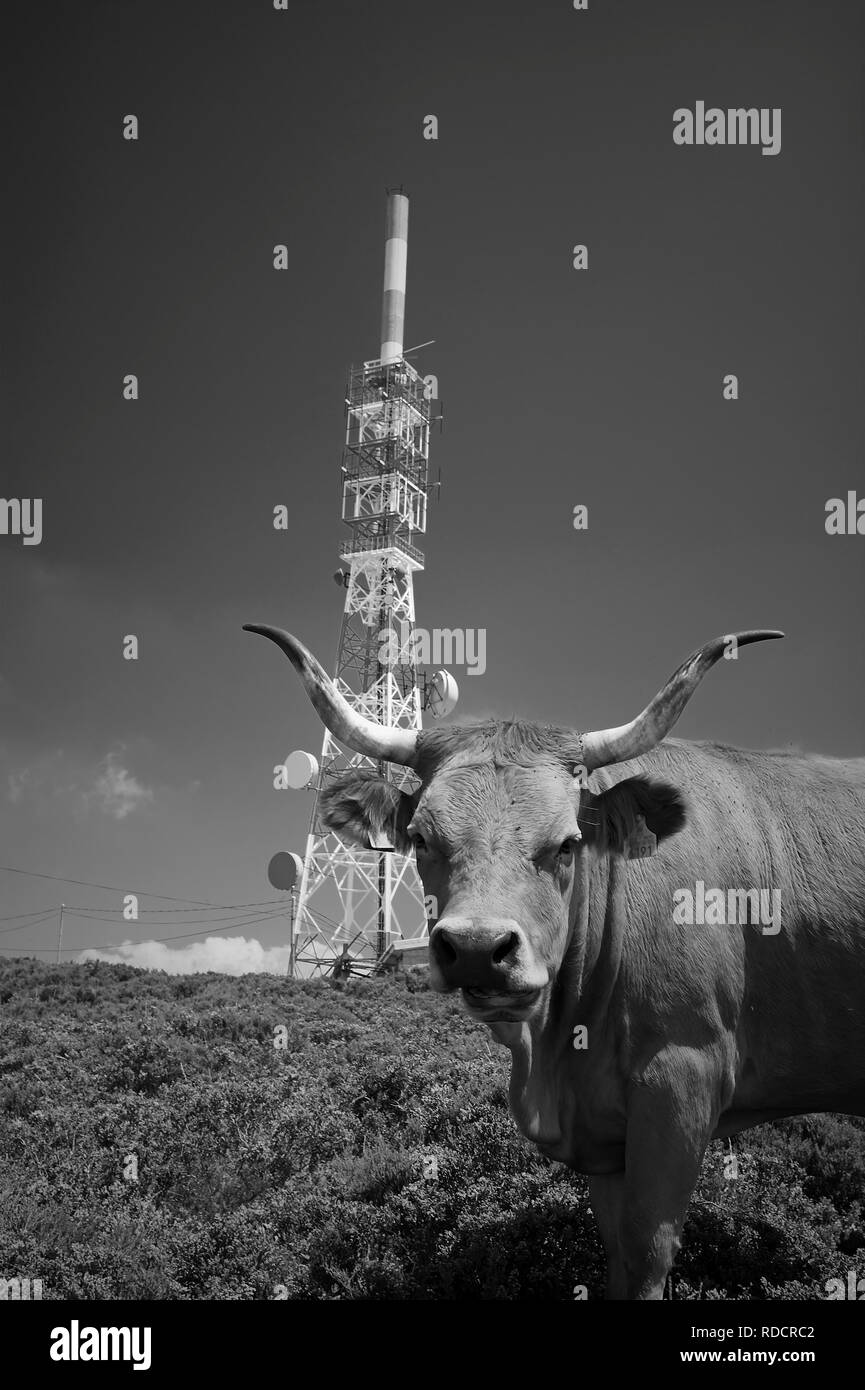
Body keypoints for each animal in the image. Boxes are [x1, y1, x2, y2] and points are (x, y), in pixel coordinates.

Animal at [244, 622, 865, 1299]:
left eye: (568, 843)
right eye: (420, 838)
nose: (477, 949)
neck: (555, 1051)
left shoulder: (682, 1079)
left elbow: (647, 1252)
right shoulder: (605, 1134)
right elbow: (618, 1254)